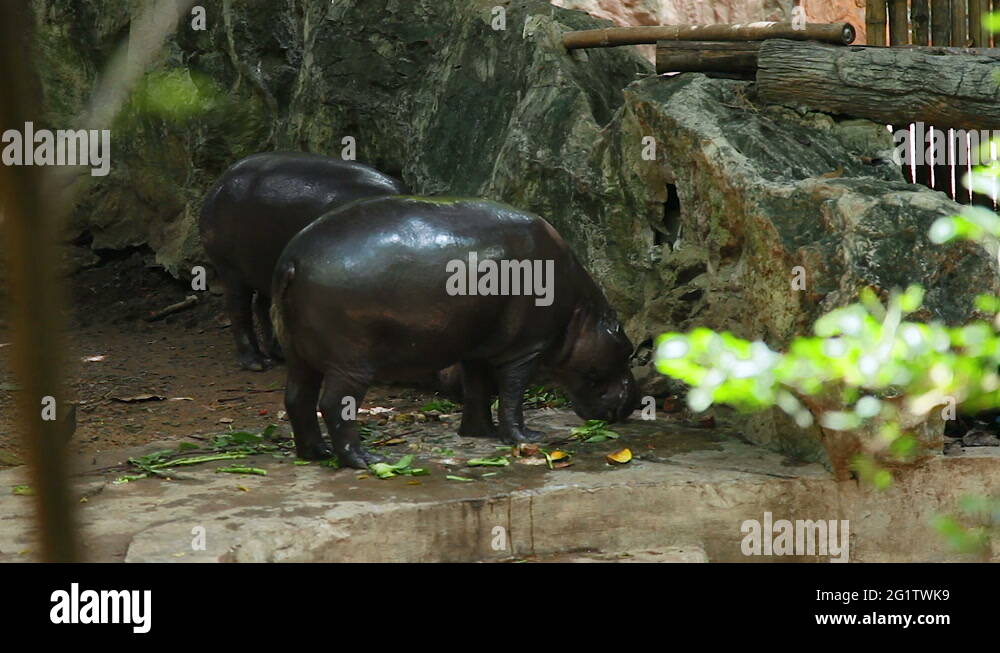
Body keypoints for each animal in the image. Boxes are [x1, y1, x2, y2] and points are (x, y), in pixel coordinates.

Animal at [199, 152, 407, 371]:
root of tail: (220, 181)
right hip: (229, 268)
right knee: (239, 309)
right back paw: (257, 363)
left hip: (264, 266)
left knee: (263, 305)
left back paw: (278, 354)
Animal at [272, 196, 639, 467]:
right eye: (625, 344)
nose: (634, 401)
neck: (580, 312)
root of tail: (292, 260)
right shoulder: (525, 349)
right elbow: (512, 393)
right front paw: (527, 438)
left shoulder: (476, 350)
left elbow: (479, 390)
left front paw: (481, 433)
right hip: (351, 362)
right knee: (334, 405)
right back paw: (366, 460)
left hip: (298, 354)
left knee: (298, 399)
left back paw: (317, 453)